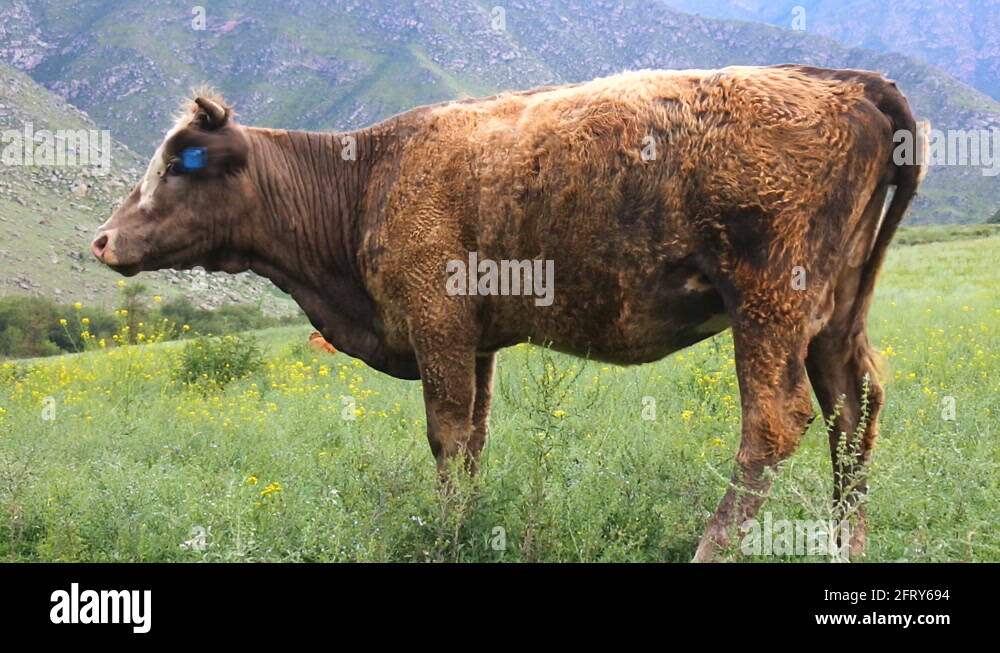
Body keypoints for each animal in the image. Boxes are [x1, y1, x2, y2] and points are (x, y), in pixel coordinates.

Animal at [91, 65, 923, 561]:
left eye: (180, 162)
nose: (103, 239)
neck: (366, 178)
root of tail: (846, 80)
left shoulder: (439, 331)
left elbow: (446, 437)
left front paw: (448, 532)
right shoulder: (478, 344)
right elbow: (474, 440)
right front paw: (470, 519)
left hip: (768, 309)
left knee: (776, 421)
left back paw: (710, 547)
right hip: (831, 320)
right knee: (853, 410)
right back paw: (846, 544)